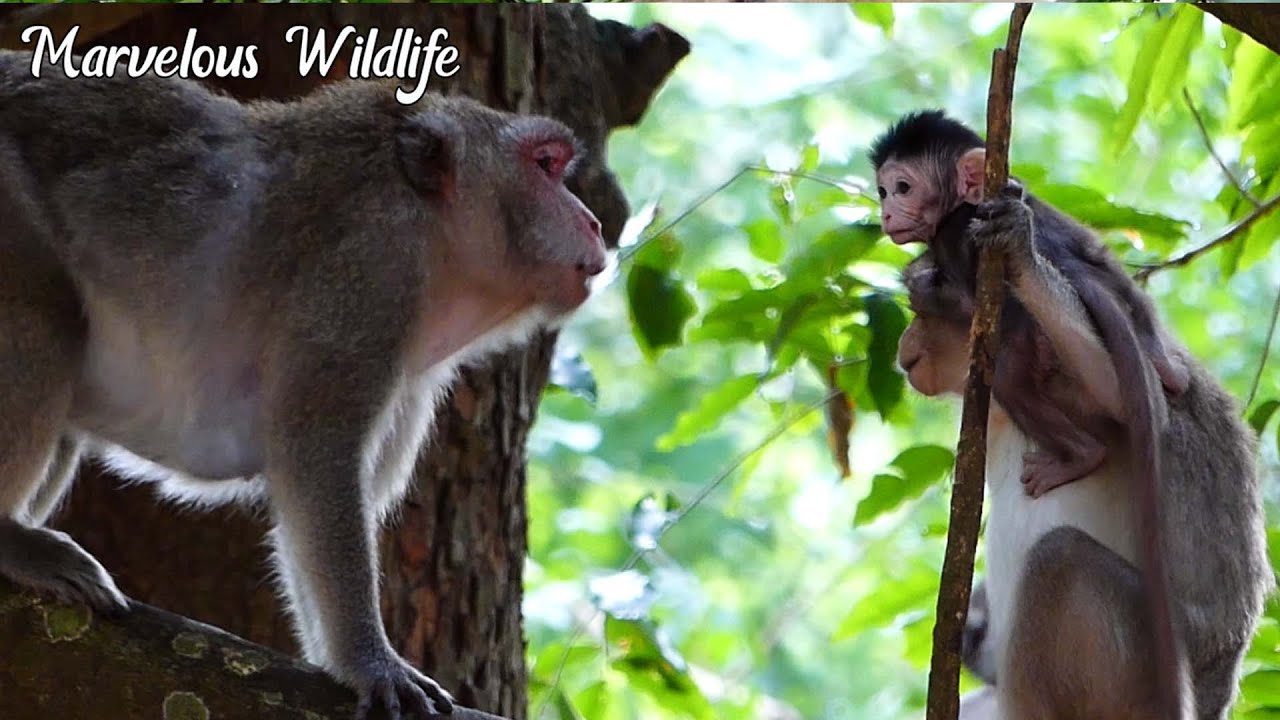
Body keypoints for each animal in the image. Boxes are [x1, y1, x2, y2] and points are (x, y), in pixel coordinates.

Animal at [0, 50, 607, 719]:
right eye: (545, 165)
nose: (594, 222)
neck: (432, 240)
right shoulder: (369, 277)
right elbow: (317, 458)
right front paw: (369, 660)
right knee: (43, 322)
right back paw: (7, 538)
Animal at [871, 110, 1191, 499]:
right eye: (883, 192)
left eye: (902, 188)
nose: (887, 213)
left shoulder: (954, 232)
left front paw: (924, 290)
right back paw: (1165, 366)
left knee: (1009, 378)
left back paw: (1083, 455)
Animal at [898, 241, 1270, 717]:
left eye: (920, 312)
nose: (904, 350)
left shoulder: (1048, 363)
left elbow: (1133, 396)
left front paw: (1023, 254)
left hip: (1143, 671)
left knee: (1060, 556)